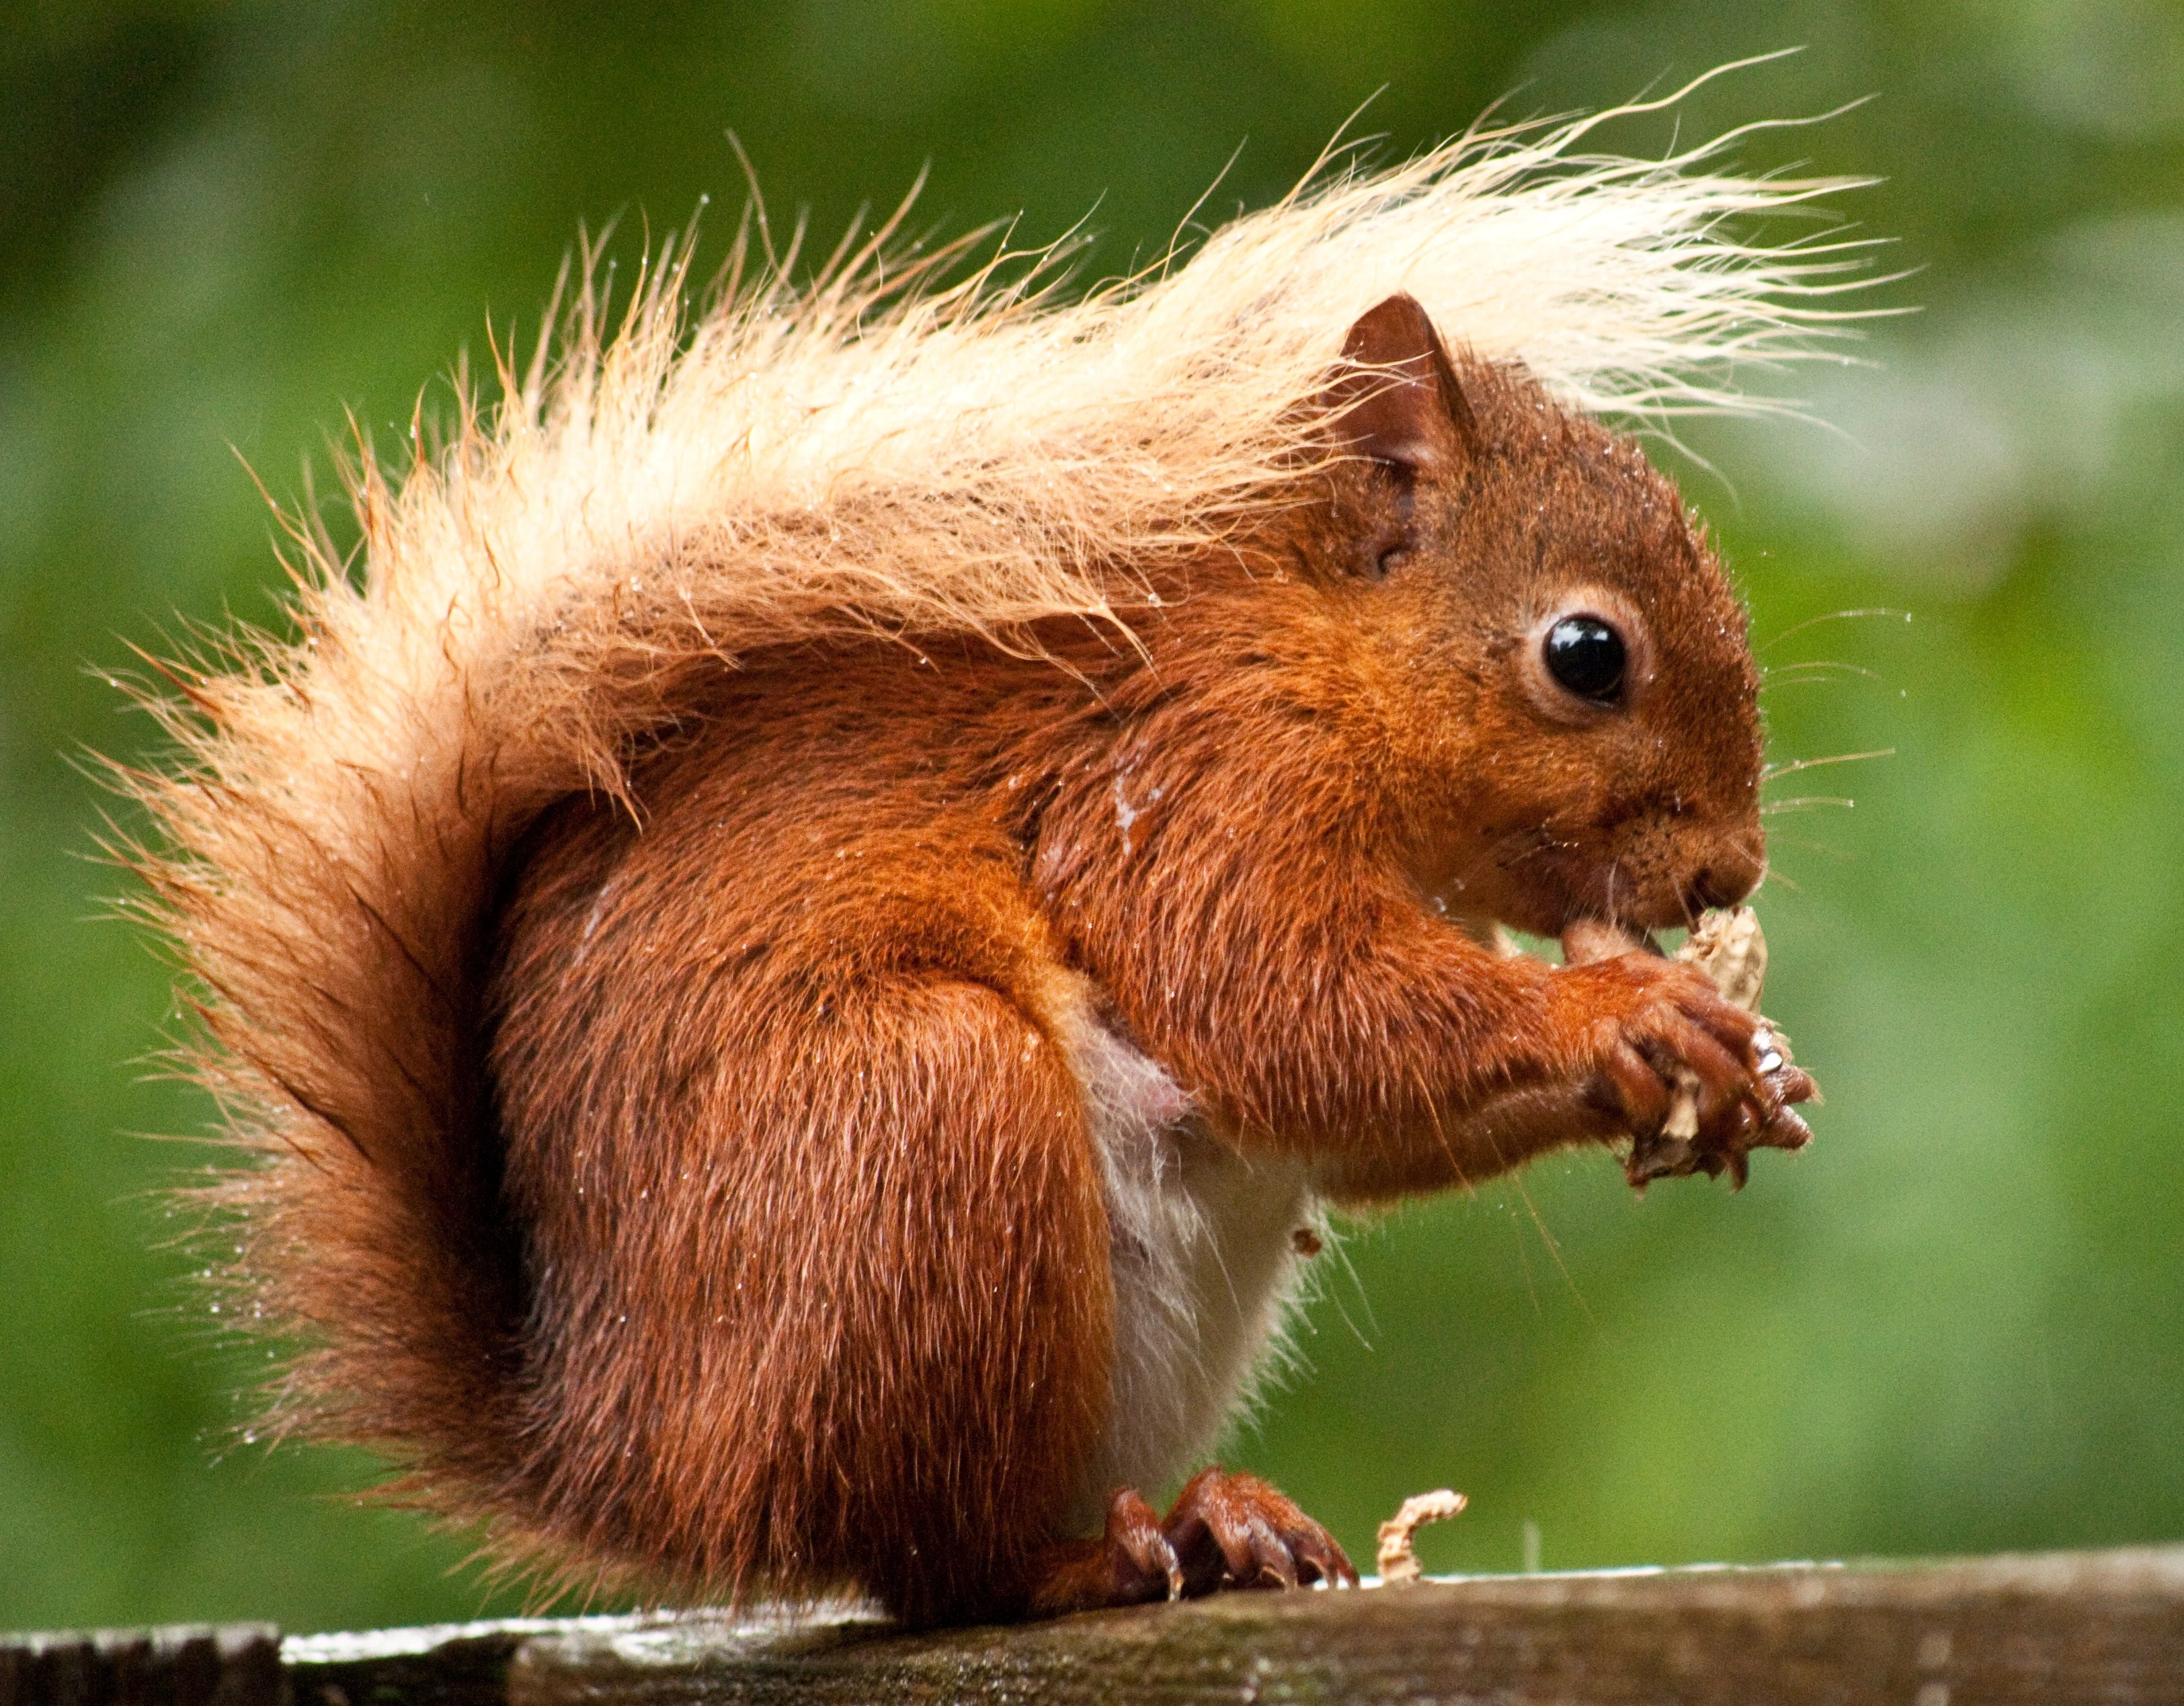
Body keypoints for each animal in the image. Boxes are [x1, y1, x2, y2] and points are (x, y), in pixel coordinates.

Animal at [128, 105, 1838, 1628]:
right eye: (1585, 654)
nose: (1726, 872)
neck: (1305, 653)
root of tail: (618, 1452)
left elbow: (1347, 1120)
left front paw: (1735, 1067)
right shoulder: (1186, 791)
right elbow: (1285, 1009)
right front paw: (1621, 1019)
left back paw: (1213, 1522)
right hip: (930, 1131)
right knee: (934, 1562)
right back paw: (1101, 1558)